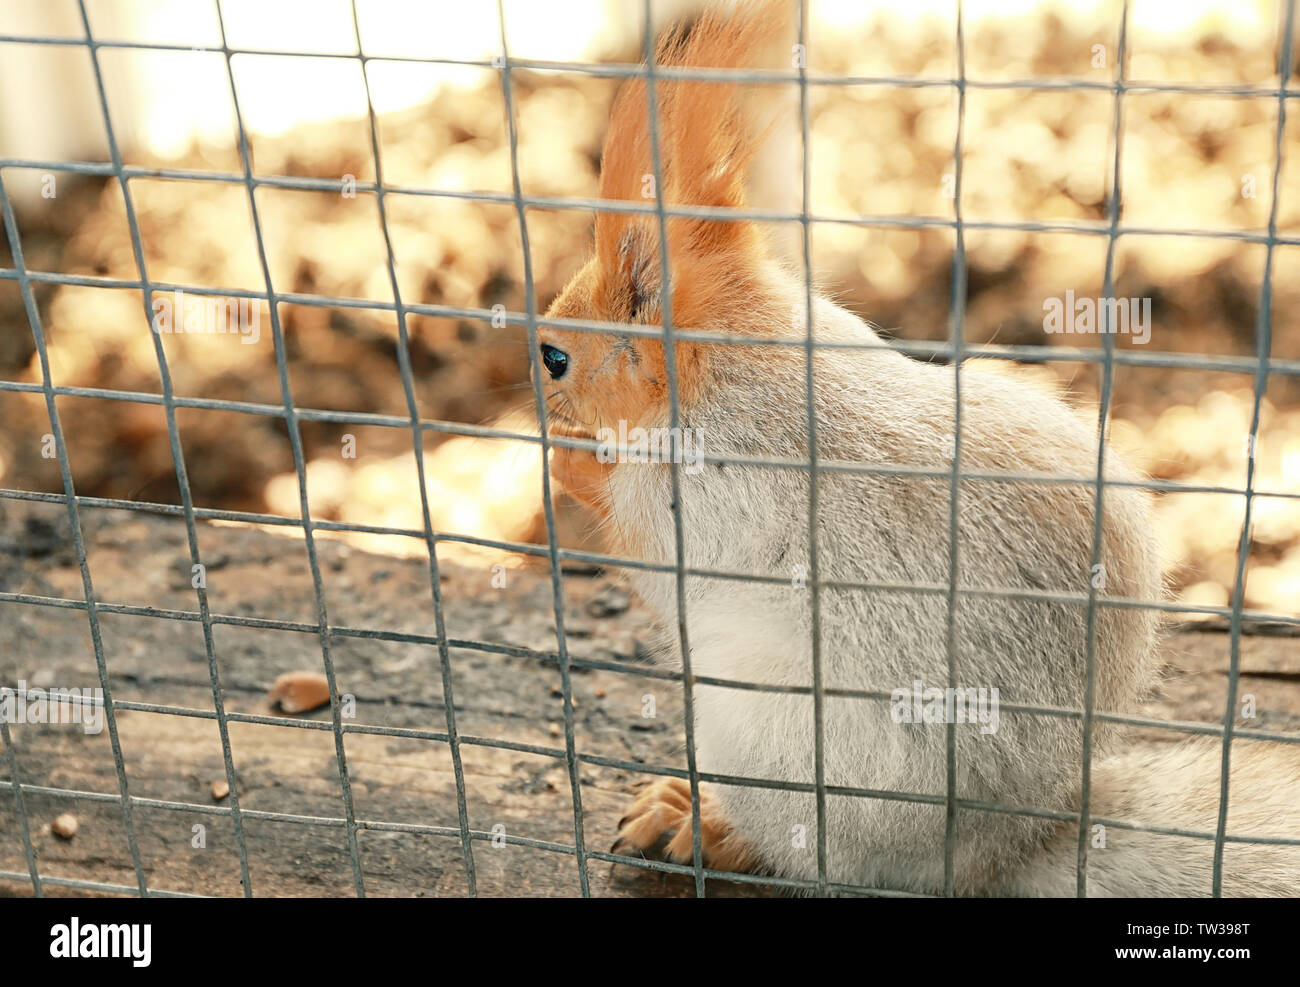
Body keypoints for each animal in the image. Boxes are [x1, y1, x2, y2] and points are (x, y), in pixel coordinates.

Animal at [534, 0, 1300, 896]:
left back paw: (707, 826)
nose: (541, 390)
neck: (731, 362)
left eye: (555, 357)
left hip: (777, 740)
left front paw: (571, 459)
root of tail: (1001, 844)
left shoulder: (709, 485)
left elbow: (645, 540)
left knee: (805, 849)